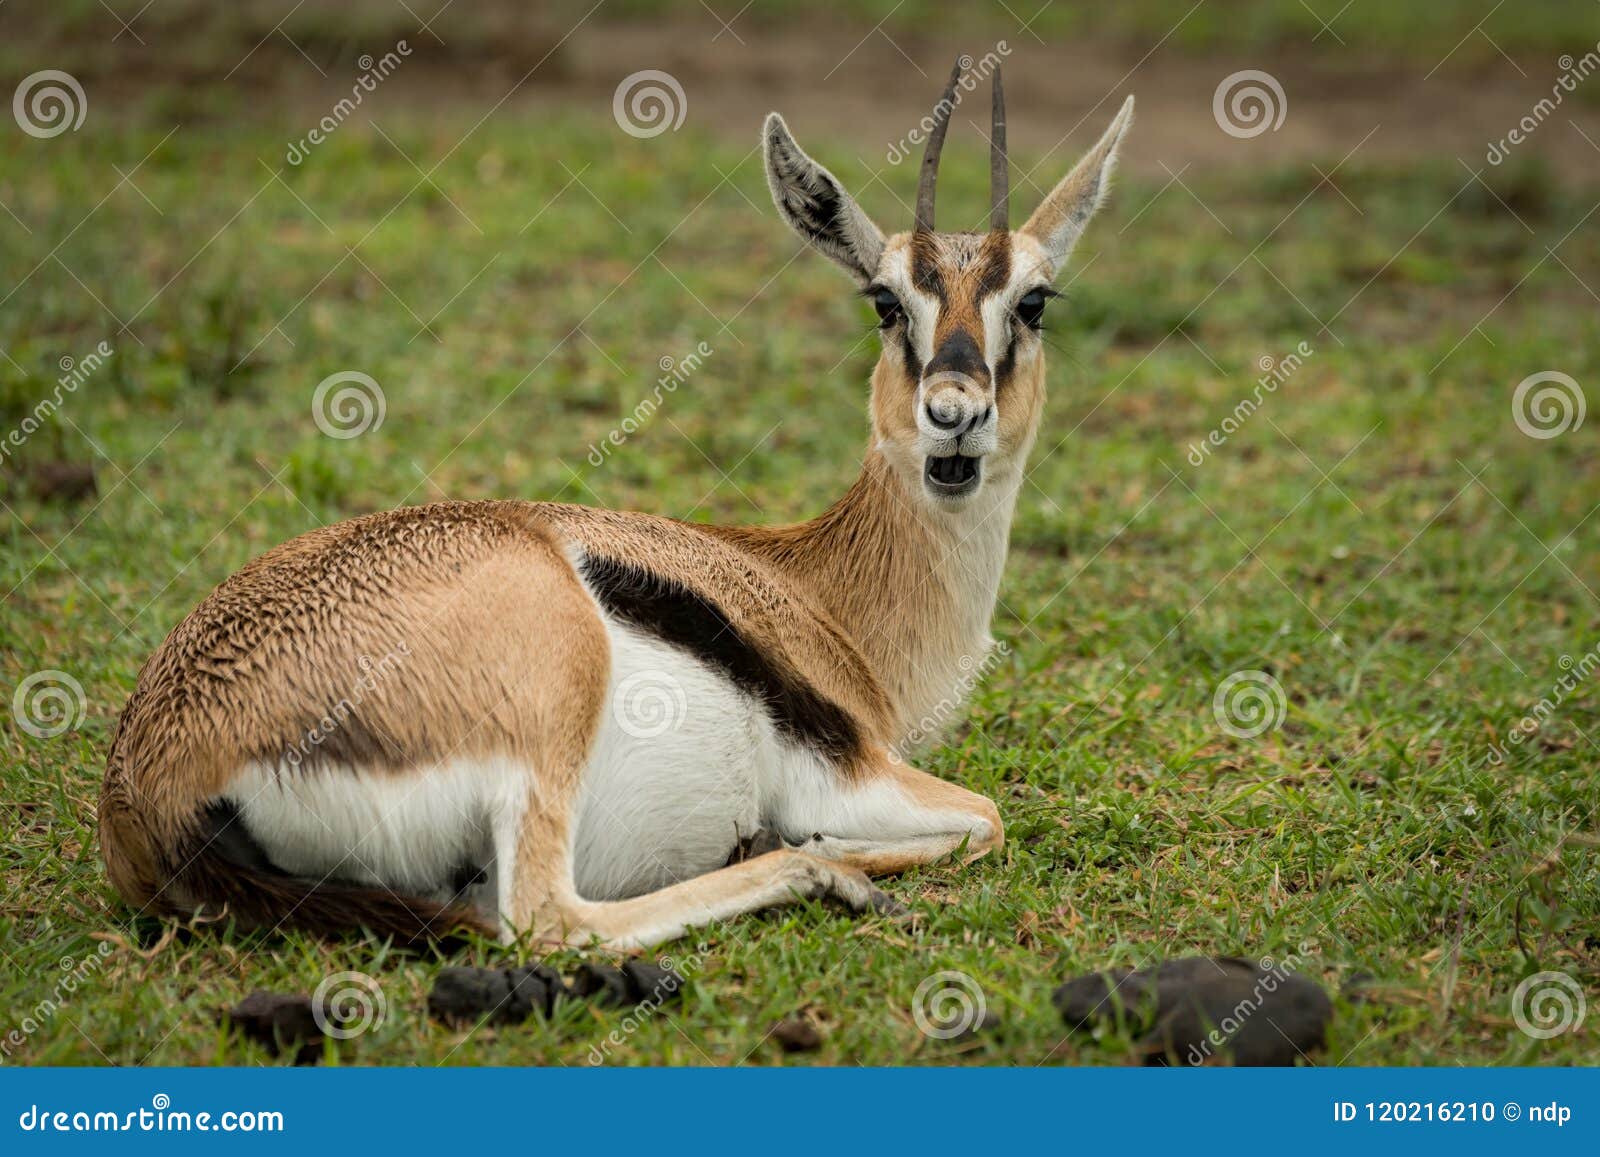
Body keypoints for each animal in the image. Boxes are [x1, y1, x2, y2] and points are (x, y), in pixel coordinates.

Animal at [99, 65, 1134, 949]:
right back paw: (808, 871)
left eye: (1034, 302)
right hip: (552, 714)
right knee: (550, 922)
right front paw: (814, 851)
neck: (818, 597)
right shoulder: (854, 774)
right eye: (885, 301)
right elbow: (987, 818)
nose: (954, 417)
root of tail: (146, 782)